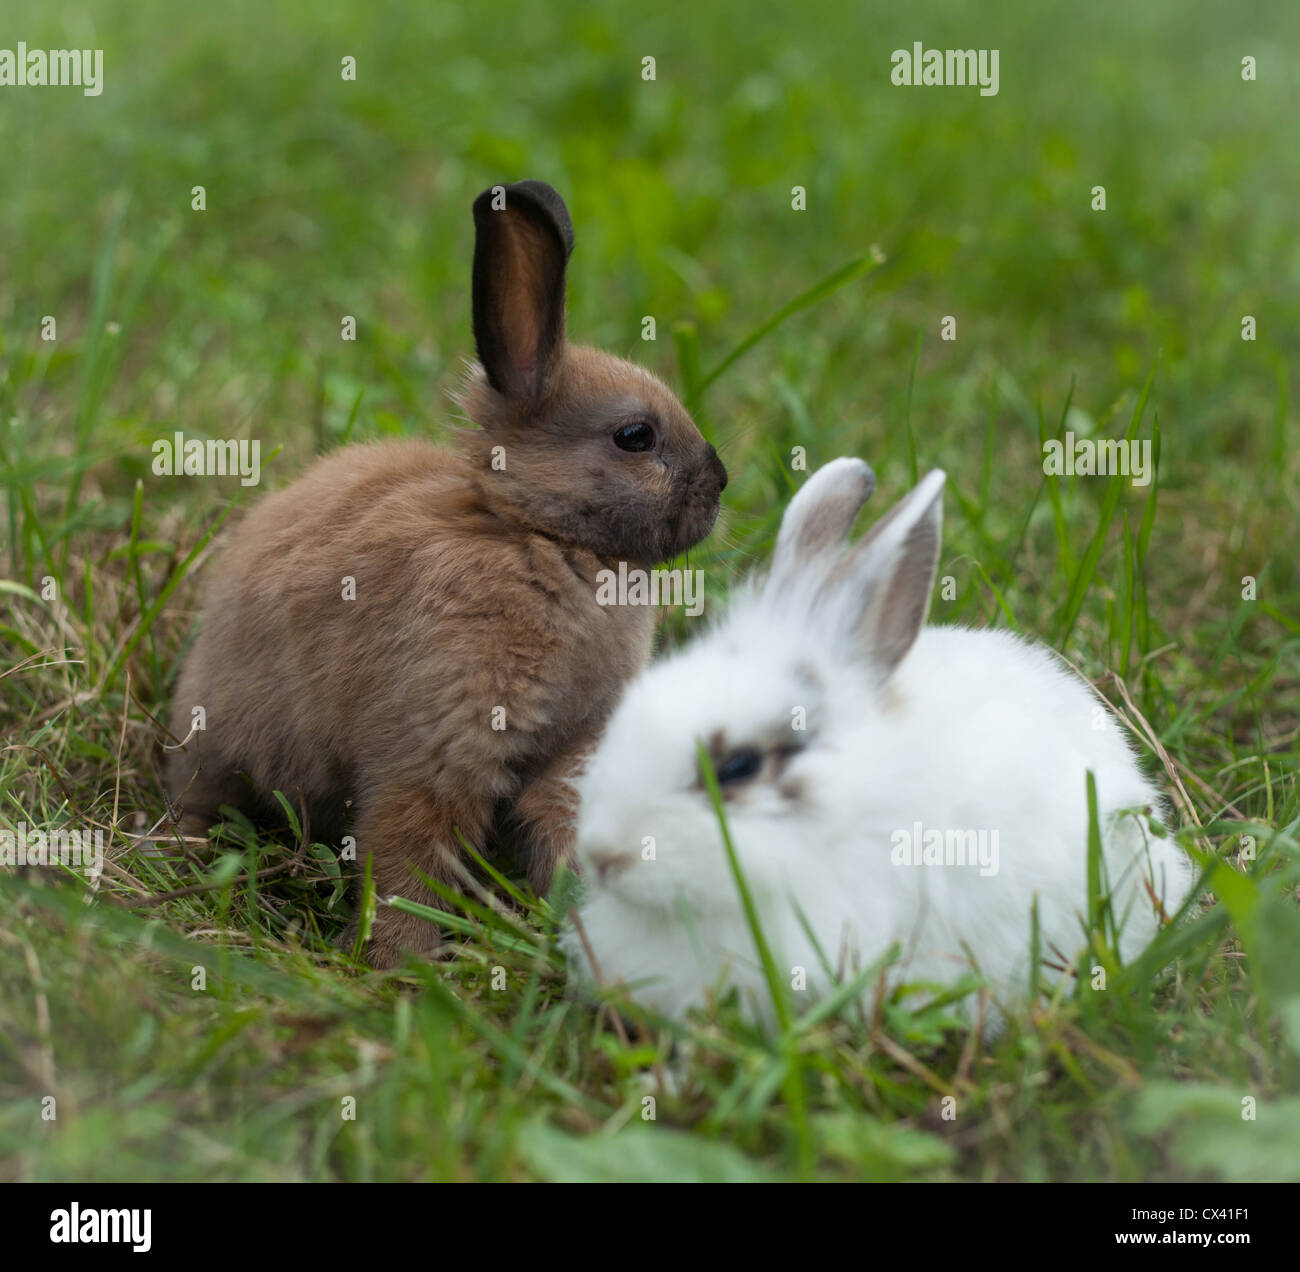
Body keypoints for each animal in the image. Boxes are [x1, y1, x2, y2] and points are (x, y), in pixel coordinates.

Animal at [165, 180, 728, 969]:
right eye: (635, 437)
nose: (721, 481)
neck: (535, 535)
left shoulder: (574, 756)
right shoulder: (436, 749)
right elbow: (408, 854)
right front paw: (399, 961)